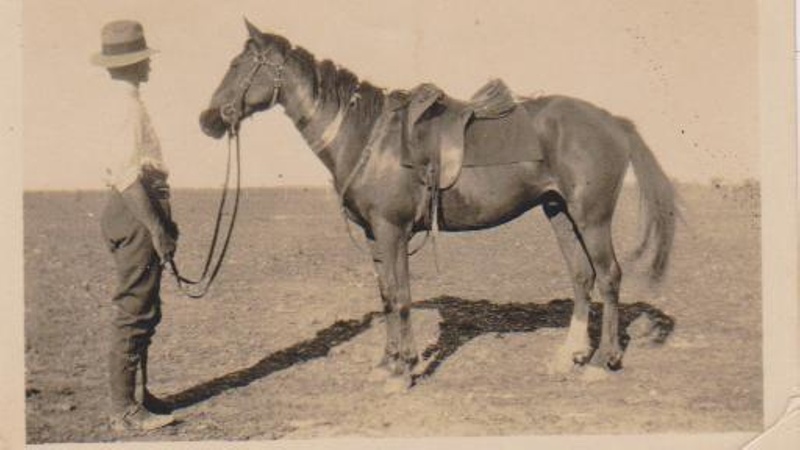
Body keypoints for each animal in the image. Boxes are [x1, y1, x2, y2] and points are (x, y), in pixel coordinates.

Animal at [199, 20, 677, 379]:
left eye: (239, 65)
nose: (207, 120)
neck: (365, 136)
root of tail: (613, 121)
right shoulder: (375, 236)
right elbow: (387, 296)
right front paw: (387, 363)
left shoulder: (392, 231)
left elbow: (402, 296)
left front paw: (405, 369)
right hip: (558, 211)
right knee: (582, 276)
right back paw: (569, 355)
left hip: (591, 216)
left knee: (609, 277)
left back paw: (603, 361)